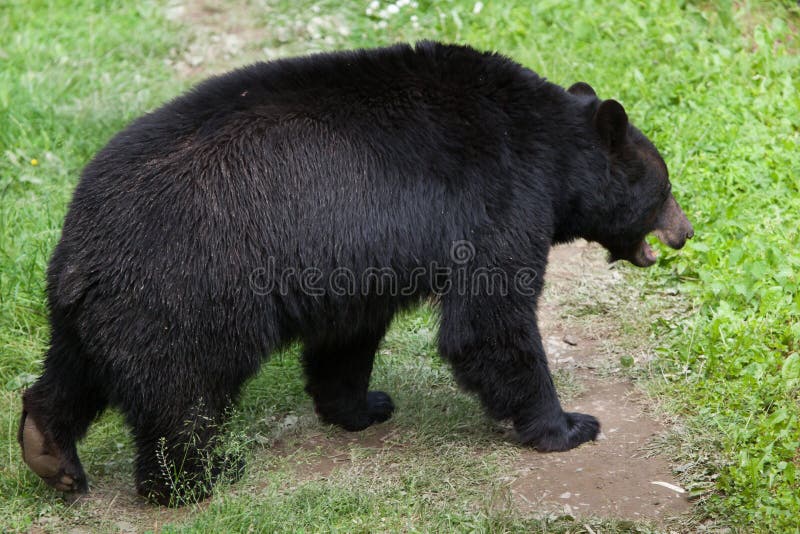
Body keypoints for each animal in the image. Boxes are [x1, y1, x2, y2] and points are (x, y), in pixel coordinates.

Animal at [18, 41, 693, 505]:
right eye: (664, 187)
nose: (686, 231)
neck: (549, 151)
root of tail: (82, 247)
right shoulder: (498, 203)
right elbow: (489, 321)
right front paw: (568, 424)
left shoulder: (358, 258)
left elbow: (348, 336)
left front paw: (362, 404)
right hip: (188, 290)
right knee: (183, 396)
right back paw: (196, 479)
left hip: (94, 308)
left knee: (73, 372)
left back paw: (48, 448)